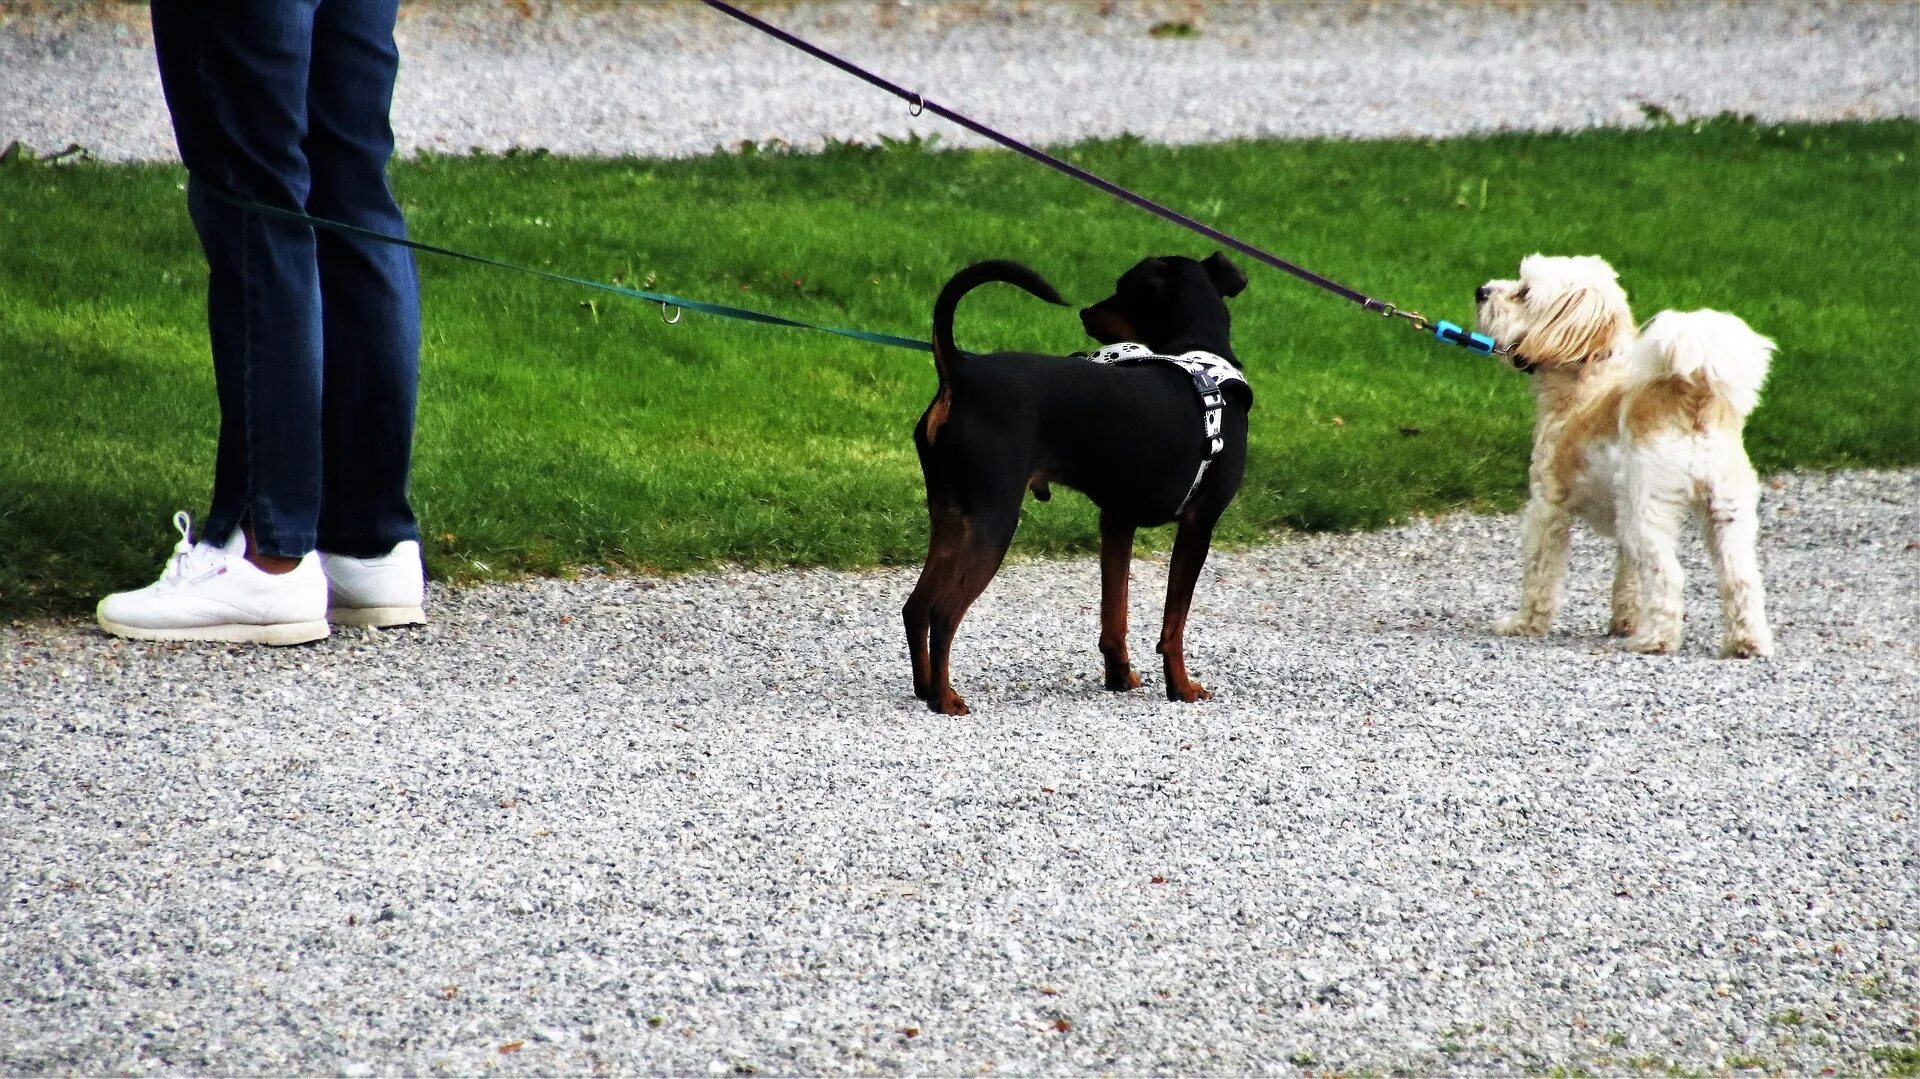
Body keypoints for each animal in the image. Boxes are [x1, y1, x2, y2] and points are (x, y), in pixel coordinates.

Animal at [902, 247, 1251, 710]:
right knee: (942, 613)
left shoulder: (1118, 522)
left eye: (1123, 290)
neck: (1199, 354)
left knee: (916, 606)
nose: (1085, 312)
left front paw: (1120, 677)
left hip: (952, 516)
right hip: (993, 522)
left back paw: (925, 688)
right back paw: (945, 699)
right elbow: (1173, 625)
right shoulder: (1199, 524)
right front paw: (1181, 687)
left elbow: (1115, 614)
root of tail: (960, 371)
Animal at [1474, 253, 1774, 656]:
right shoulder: (1622, 516)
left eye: (1524, 292)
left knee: (1668, 575)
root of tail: (1693, 399)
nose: (1482, 291)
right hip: (1726, 513)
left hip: (1647, 512)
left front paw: (1524, 624)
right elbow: (1628, 576)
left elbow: (1539, 572)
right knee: (1740, 578)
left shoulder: (1547, 507)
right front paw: (1624, 621)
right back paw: (1747, 642)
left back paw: (1655, 639)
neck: (1589, 380)